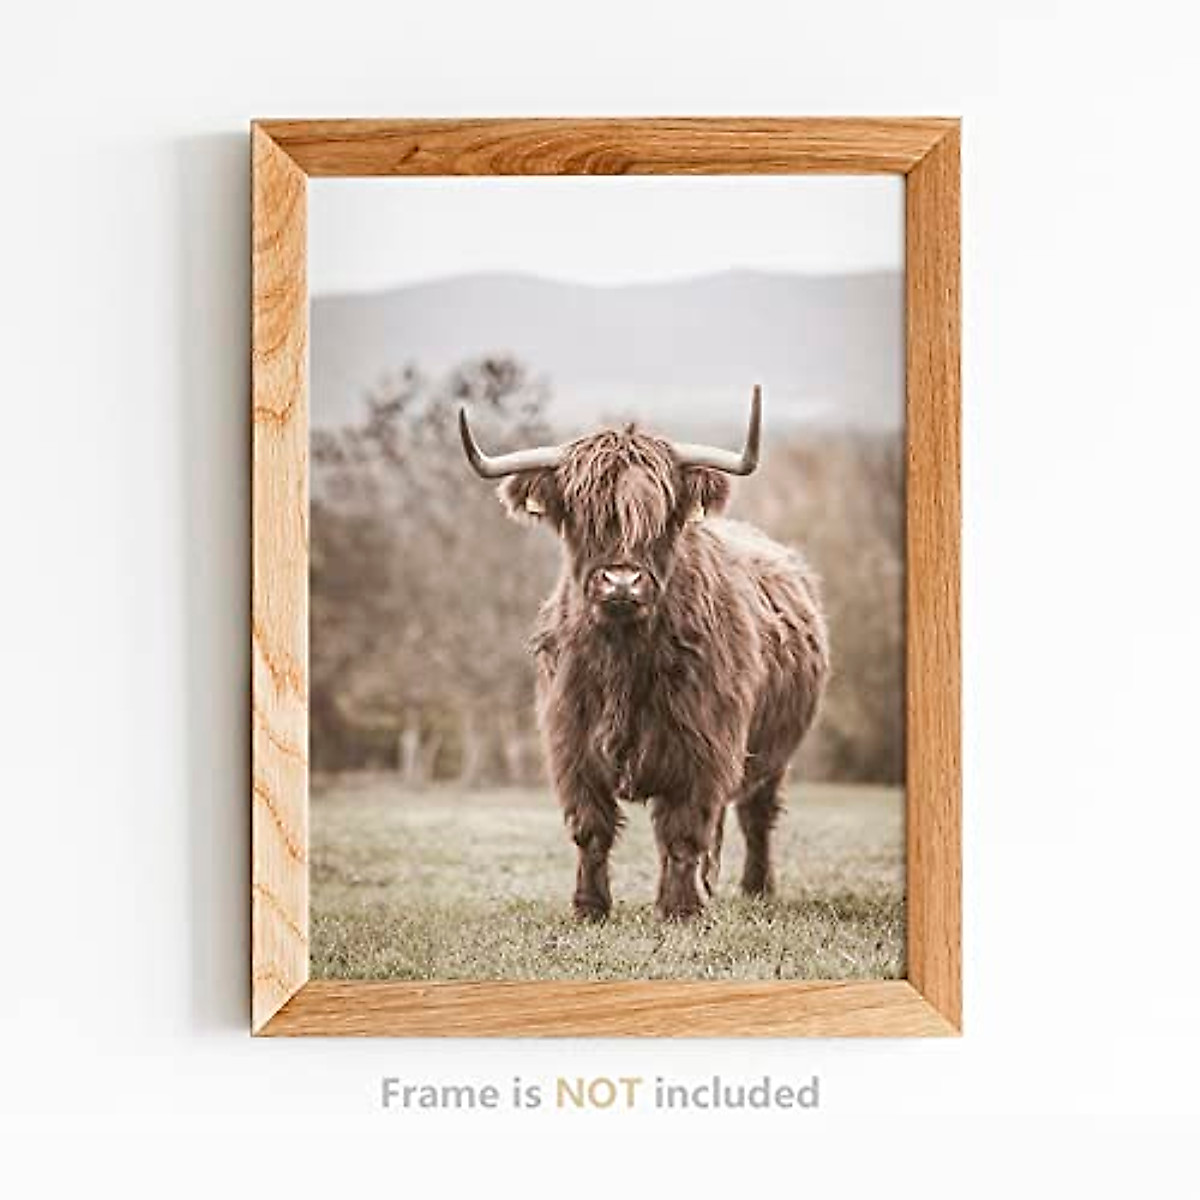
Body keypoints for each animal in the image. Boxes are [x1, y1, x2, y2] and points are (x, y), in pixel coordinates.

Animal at [459, 387, 829, 920]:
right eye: (581, 515)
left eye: (662, 517)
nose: (621, 581)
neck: (623, 657)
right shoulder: (571, 744)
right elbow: (591, 831)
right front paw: (590, 907)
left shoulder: (704, 746)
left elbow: (684, 831)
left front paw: (681, 910)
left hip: (772, 755)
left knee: (754, 815)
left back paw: (755, 888)